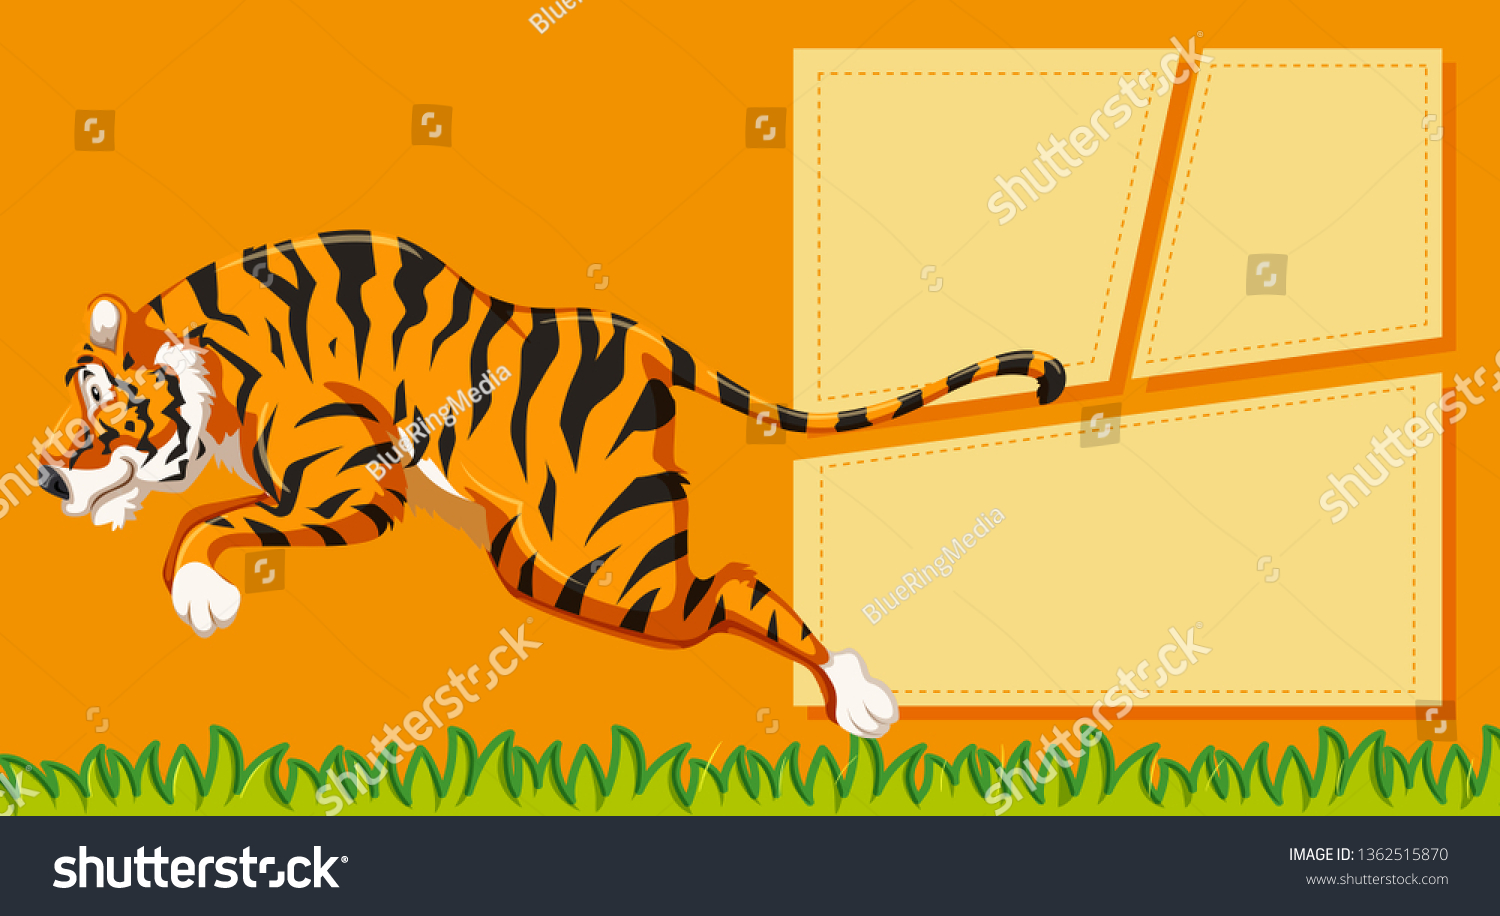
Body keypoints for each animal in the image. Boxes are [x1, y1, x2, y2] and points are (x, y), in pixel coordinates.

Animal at [38, 233, 1066, 738]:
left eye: (101, 413)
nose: (44, 476)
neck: (212, 362)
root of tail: (643, 335)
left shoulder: (351, 490)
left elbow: (209, 522)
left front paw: (199, 594)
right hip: (550, 558)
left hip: (601, 561)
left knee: (732, 584)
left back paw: (858, 699)